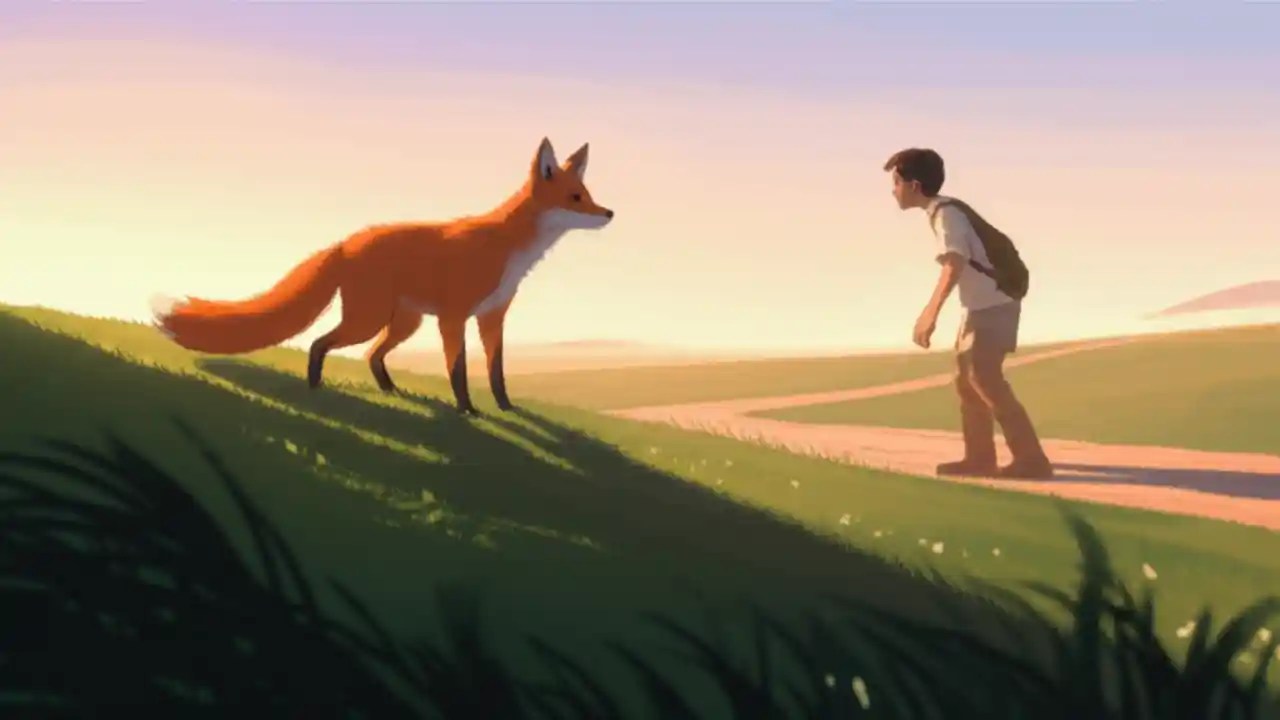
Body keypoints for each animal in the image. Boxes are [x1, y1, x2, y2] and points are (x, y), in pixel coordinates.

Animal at [151, 137, 615, 415]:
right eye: (576, 198)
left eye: (588, 195)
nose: (609, 213)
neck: (507, 248)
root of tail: (345, 242)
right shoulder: (454, 317)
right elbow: (459, 371)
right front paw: (467, 411)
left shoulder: (492, 317)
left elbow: (497, 371)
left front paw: (505, 409)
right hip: (371, 319)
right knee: (321, 344)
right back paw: (316, 389)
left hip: (403, 322)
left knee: (371, 355)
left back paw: (391, 391)